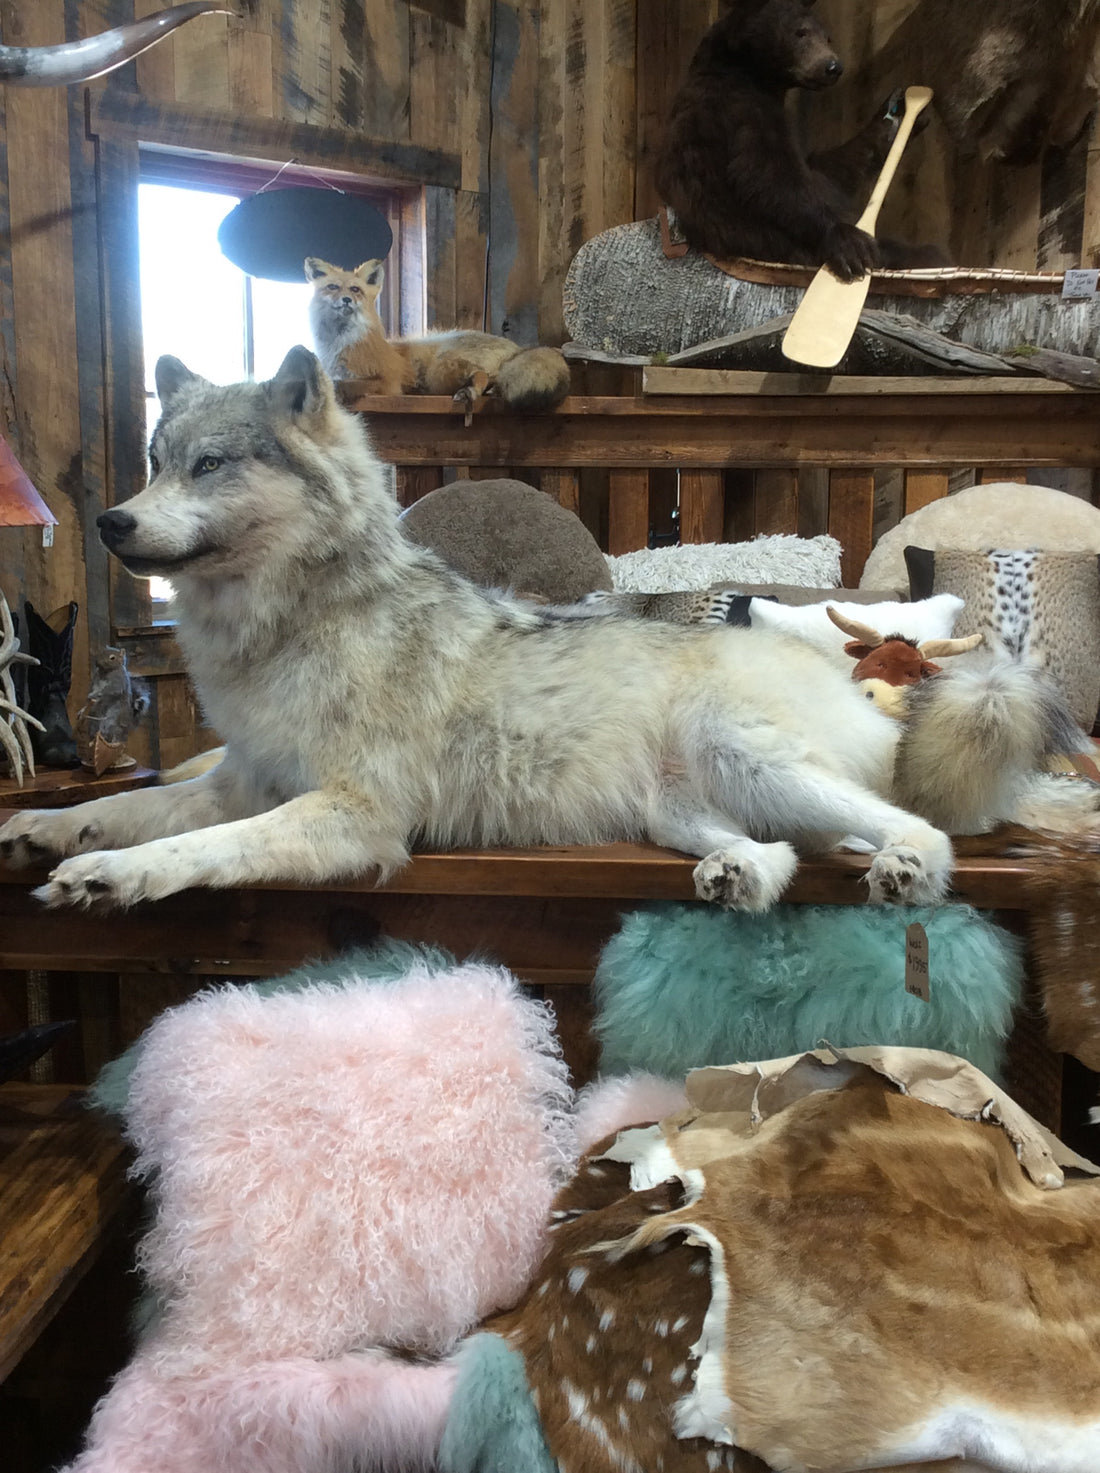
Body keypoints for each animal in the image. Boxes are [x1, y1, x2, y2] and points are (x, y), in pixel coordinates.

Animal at [0, 348, 1082, 911]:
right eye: (154, 460)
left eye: (211, 465)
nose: (111, 523)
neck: (289, 629)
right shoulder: (242, 781)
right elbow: (135, 806)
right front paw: (44, 830)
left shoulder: (352, 815)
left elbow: (193, 849)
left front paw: (107, 877)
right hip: (683, 810)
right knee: (780, 858)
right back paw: (739, 872)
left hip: (750, 758)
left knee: (909, 824)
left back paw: (903, 866)